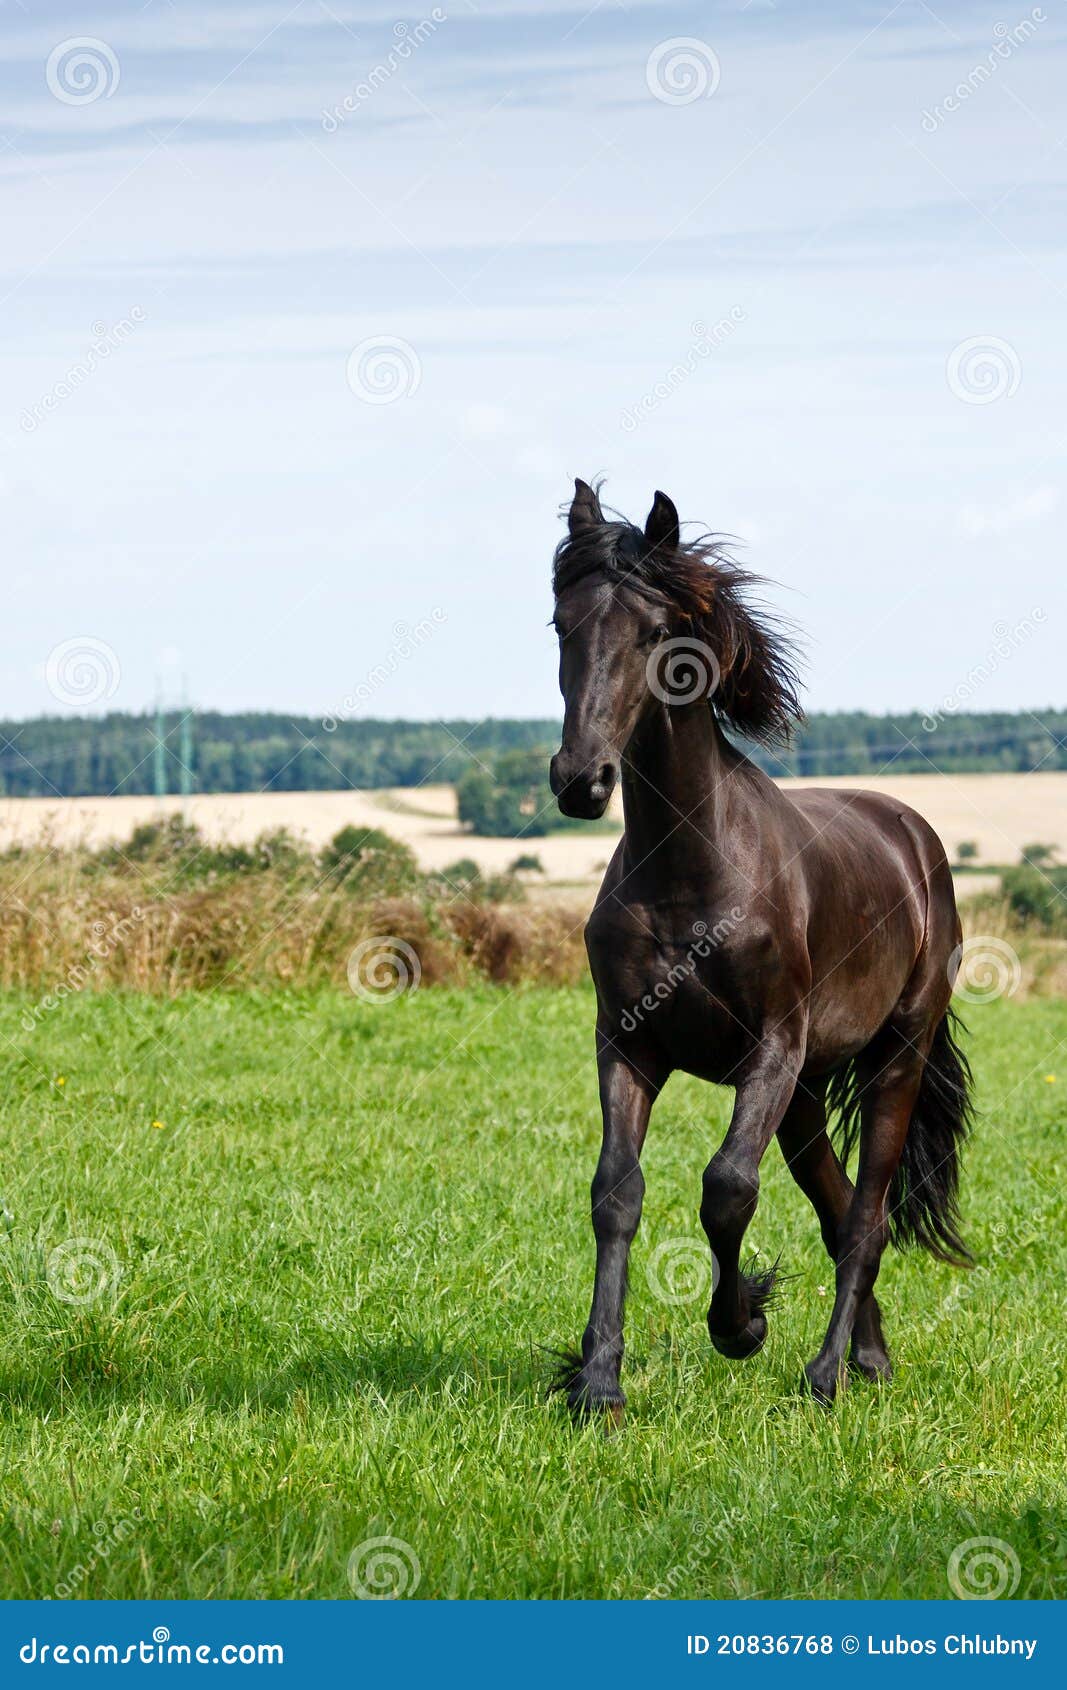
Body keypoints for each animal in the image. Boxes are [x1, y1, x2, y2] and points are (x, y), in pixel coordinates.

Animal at [548, 479, 972, 1415]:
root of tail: (912, 836)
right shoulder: (626, 1045)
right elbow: (614, 1193)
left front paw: (740, 1325)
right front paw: (596, 1382)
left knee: (866, 1214)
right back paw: (870, 1357)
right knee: (838, 1206)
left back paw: (826, 1373)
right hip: (808, 1097)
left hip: (893, 1058)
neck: (691, 875)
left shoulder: (768, 1053)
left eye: (654, 634)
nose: (580, 780)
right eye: (560, 623)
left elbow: (725, 1190)